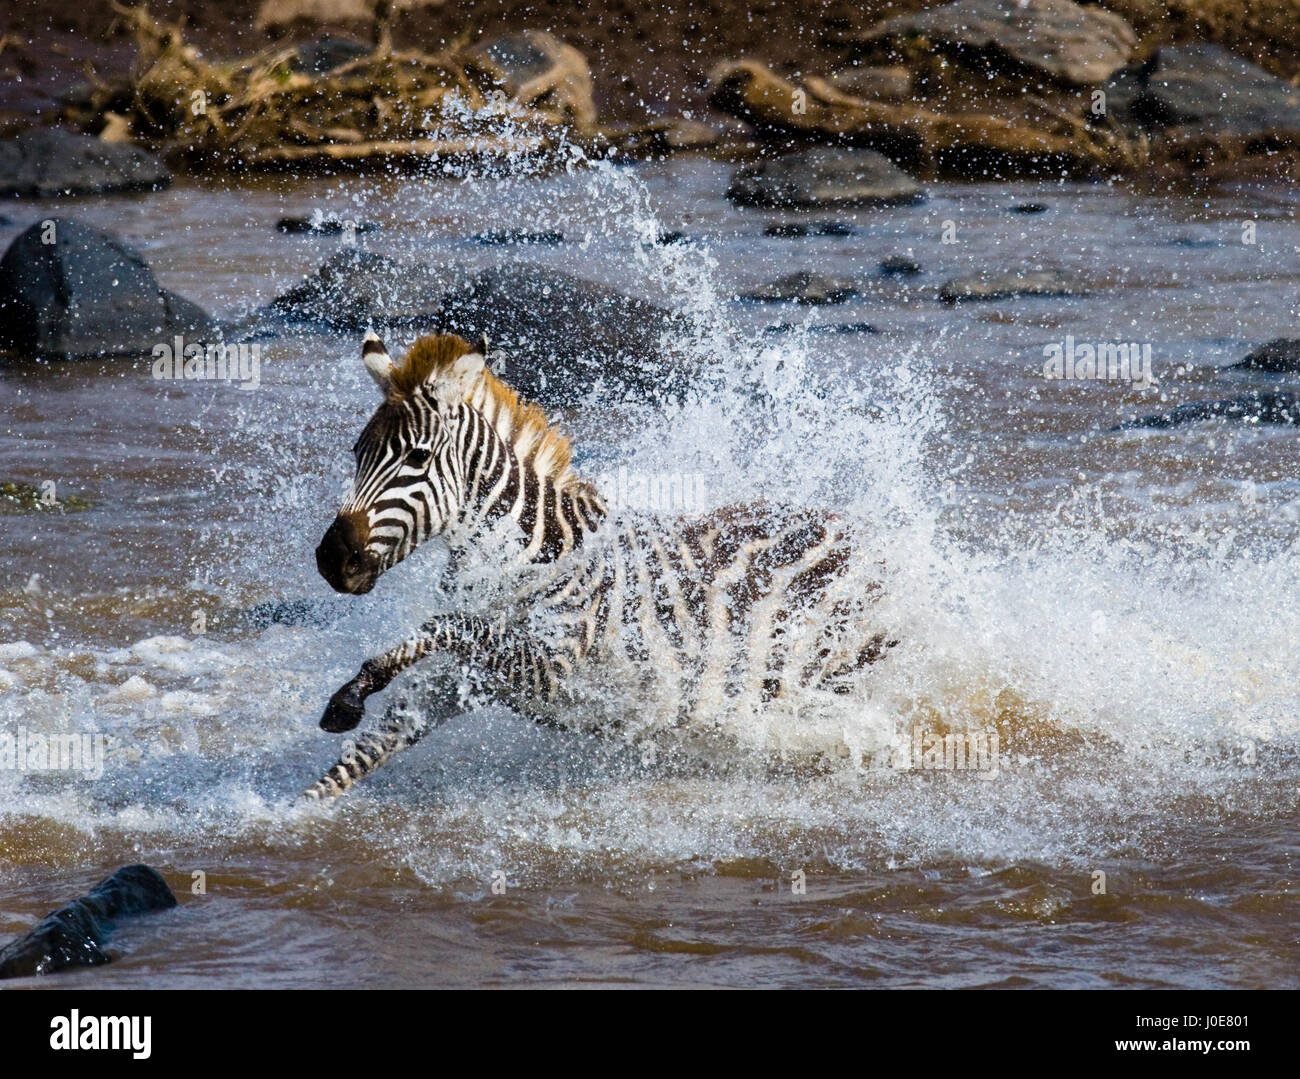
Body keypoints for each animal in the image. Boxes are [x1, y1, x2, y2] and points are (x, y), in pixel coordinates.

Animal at [306, 331, 895, 799]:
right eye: (357, 453)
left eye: (417, 458)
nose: (332, 560)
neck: (526, 556)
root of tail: (869, 537)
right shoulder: (464, 679)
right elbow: (363, 754)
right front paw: (294, 817)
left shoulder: (549, 667)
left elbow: (448, 624)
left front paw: (355, 688)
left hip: (835, 675)